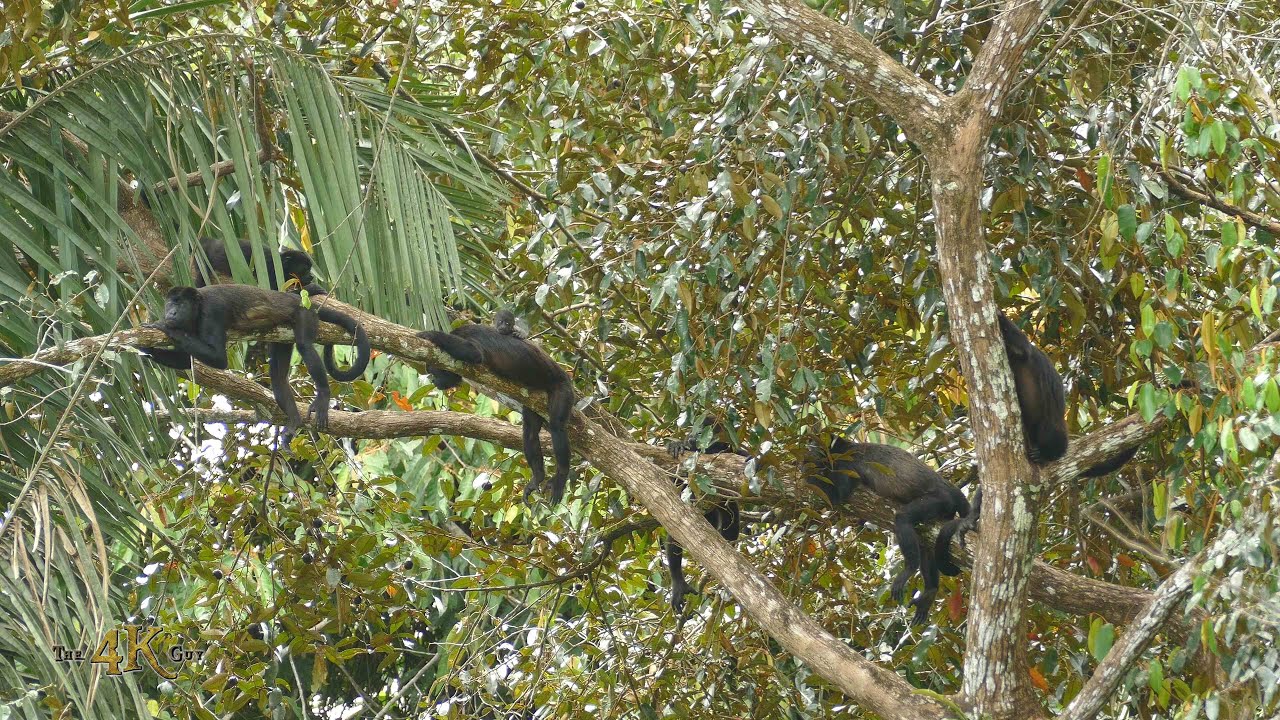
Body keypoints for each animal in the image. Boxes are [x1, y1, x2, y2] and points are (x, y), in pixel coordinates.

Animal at [140, 284, 370, 431]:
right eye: (170, 304)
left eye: (180, 304)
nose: (170, 313)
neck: (196, 309)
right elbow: (186, 359)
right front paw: (146, 349)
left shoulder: (212, 312)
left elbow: (218, 358)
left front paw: (164, 327)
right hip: (282, 332)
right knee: (277, 377)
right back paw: (293, 423)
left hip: (304, 314)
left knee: (304, 346)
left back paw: (323, 395)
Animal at [418, 310, 575, 504]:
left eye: (434, 371)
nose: (433, 380)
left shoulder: (466, 335)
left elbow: (474, 353)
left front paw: (429, 334)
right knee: (530, 431)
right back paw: (538, 476)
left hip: (563, 389)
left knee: (557, 426)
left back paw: (561, 475)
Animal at [664, 421, 745, 612]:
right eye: (694, 427)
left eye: (703, 430)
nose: (692, 436)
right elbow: (674, 482)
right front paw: (676, 445)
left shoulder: (733, 450)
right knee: (676, 532)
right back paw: (679, 584)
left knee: (730, 517)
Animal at [808, 438, 969, 625]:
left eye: (814, 441)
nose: (809, 448)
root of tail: (951, 488)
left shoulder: (844, 464)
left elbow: (836, 495)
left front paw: (804, 469)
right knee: (925, 544)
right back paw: (930, 591)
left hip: (940, 500)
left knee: (903, 518)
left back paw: (910, 568)